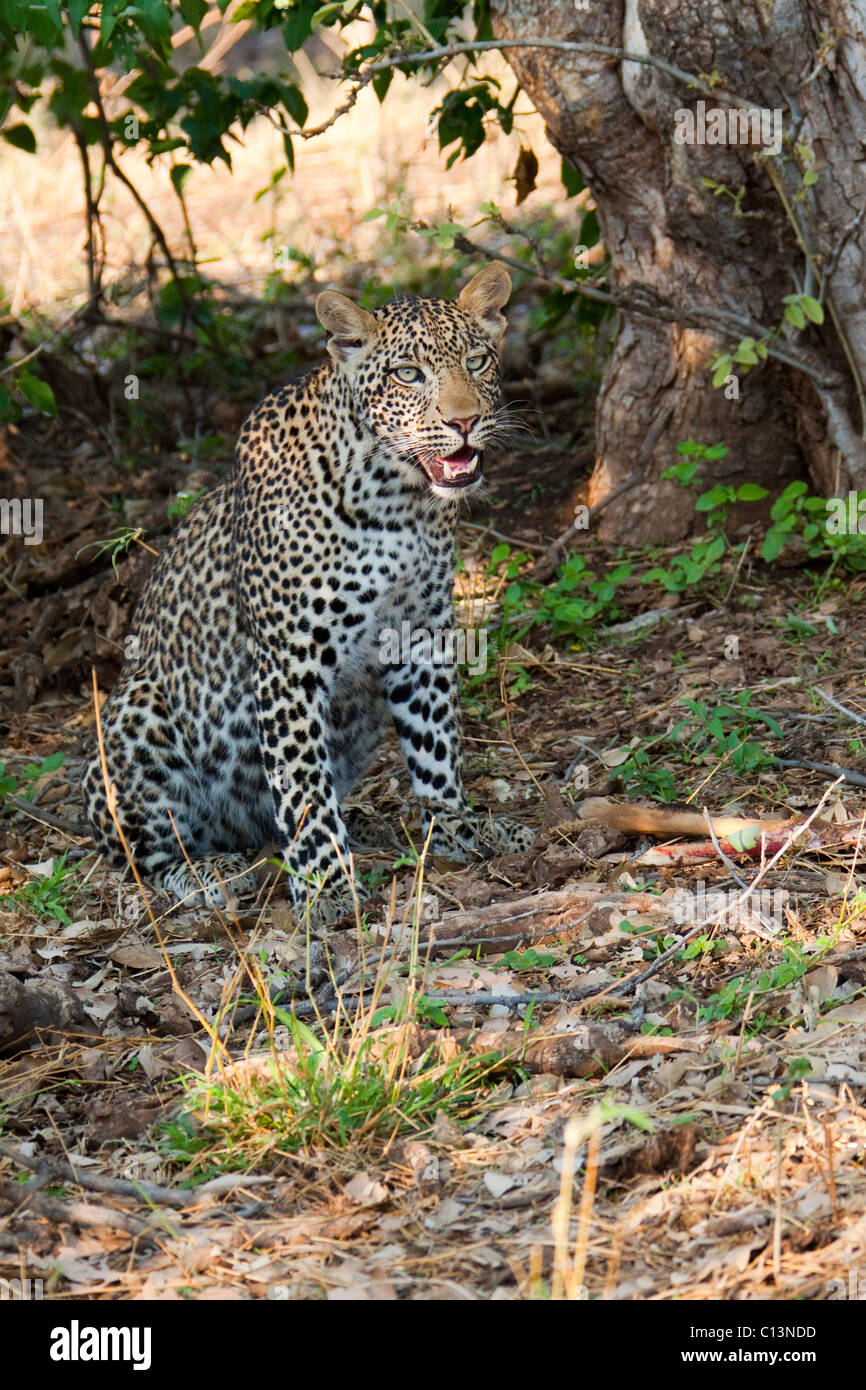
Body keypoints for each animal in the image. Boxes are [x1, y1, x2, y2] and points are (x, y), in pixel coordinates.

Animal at [82, 264, 535, 922]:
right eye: (407, 374)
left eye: (477, 361)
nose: (465, 421)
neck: (397, 500)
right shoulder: (289, 662)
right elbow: (301, 783)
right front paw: (326, 885)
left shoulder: (419, 634)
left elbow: (435, 744)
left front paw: (455, 825)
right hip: (138, 716)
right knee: (147, 853)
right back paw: (212, 873)